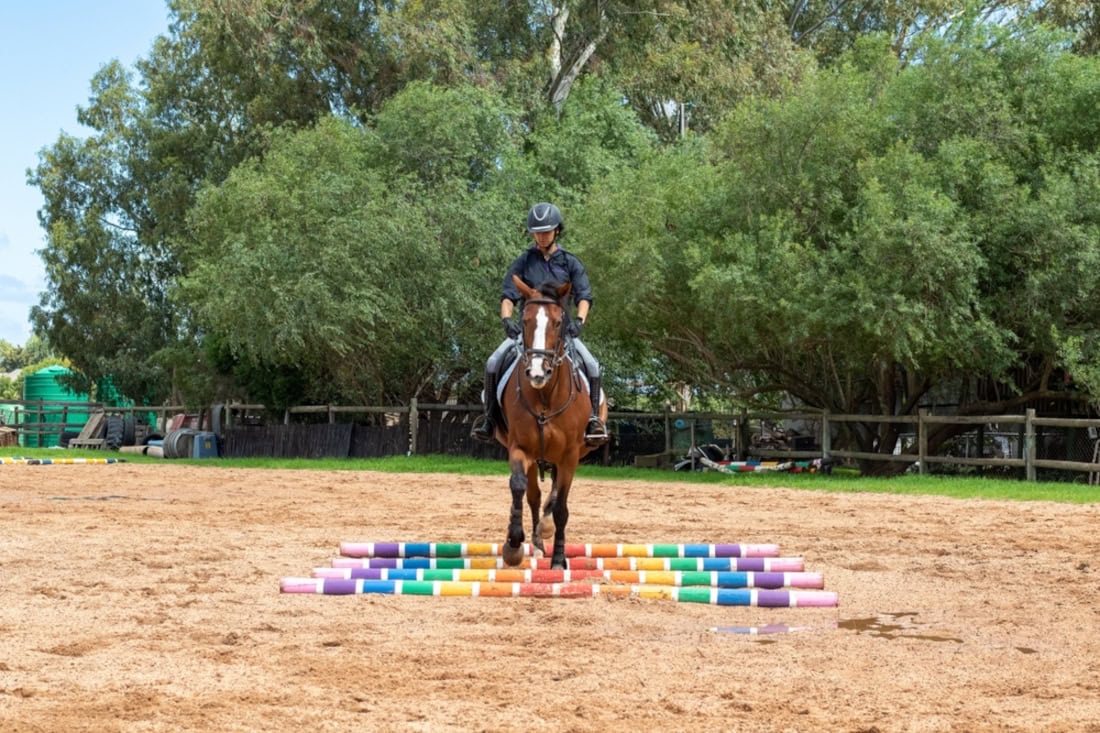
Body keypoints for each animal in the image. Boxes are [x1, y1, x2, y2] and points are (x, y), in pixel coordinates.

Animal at [493, 274, 607, 570]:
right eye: (524, 321)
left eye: (558, 322)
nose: (536, 372)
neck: (545, 396)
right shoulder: (520, 449)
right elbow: (518, 487)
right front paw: (513, 544)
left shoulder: (569, 457)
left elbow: (561, 508)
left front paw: (558, 559)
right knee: (533, 496)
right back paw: (536, 544)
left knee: (553, 499)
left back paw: (545, 533)